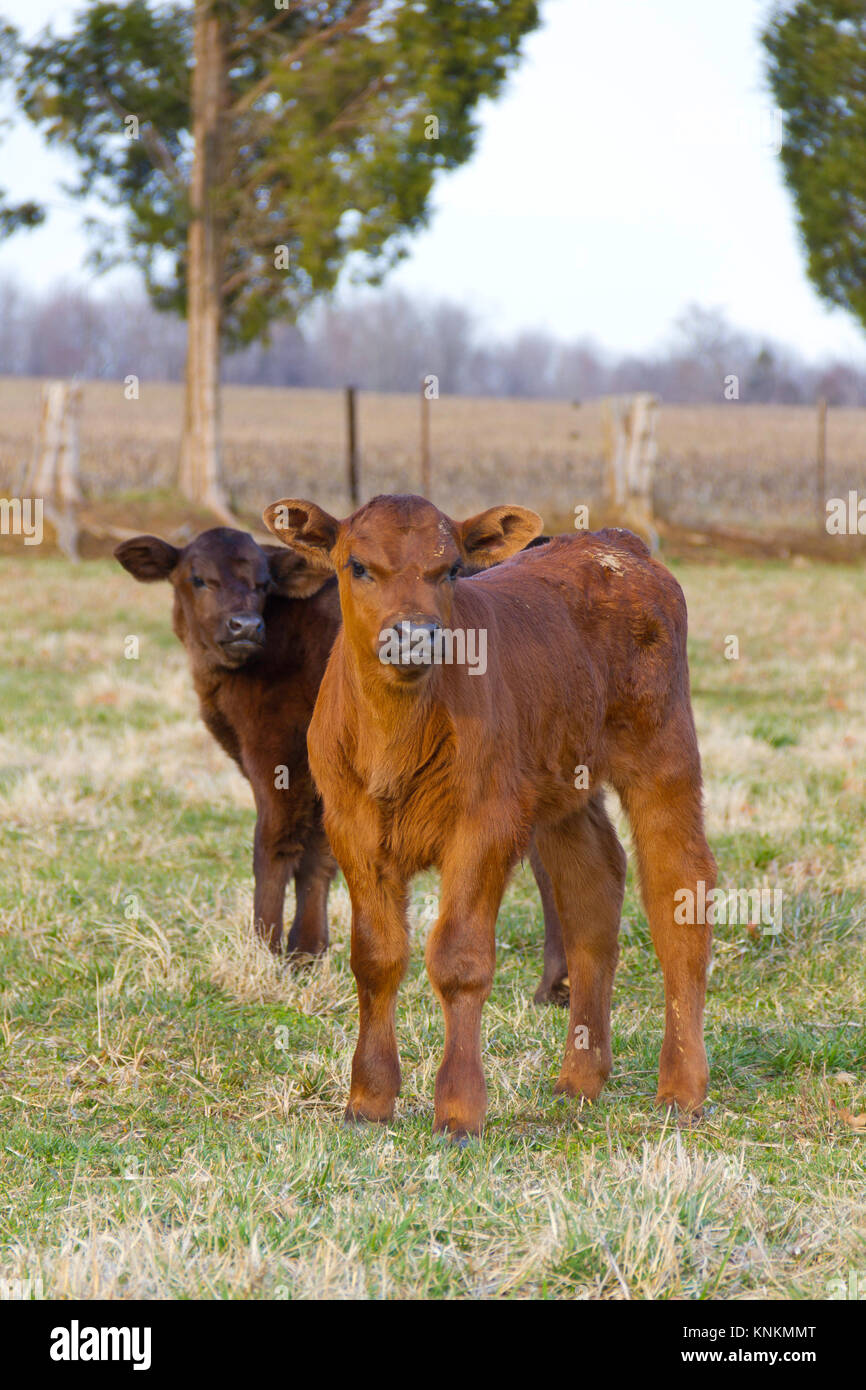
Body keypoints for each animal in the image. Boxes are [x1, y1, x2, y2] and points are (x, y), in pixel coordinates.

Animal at [114, 527, 340, 955]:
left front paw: (264, 946)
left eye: (264, 584)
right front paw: (306, 951)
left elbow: (273, 846)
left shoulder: (277, 752)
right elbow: (318, 853)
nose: (246, 625)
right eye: (199, 578)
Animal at [263, 494, 716, 1141]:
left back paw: (681, 1088)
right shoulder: (351, 828)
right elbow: (376, 957)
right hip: (564, 782)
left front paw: (458, 1110)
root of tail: (614, 543)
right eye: (357, 566)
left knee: (679, 895)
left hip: (664, 751)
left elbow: (459, 959)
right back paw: (581, 1078)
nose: (416, 635)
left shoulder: (485, 824)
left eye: (451, 569)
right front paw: (369, 1100)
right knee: (592, 894)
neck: (397, 737)